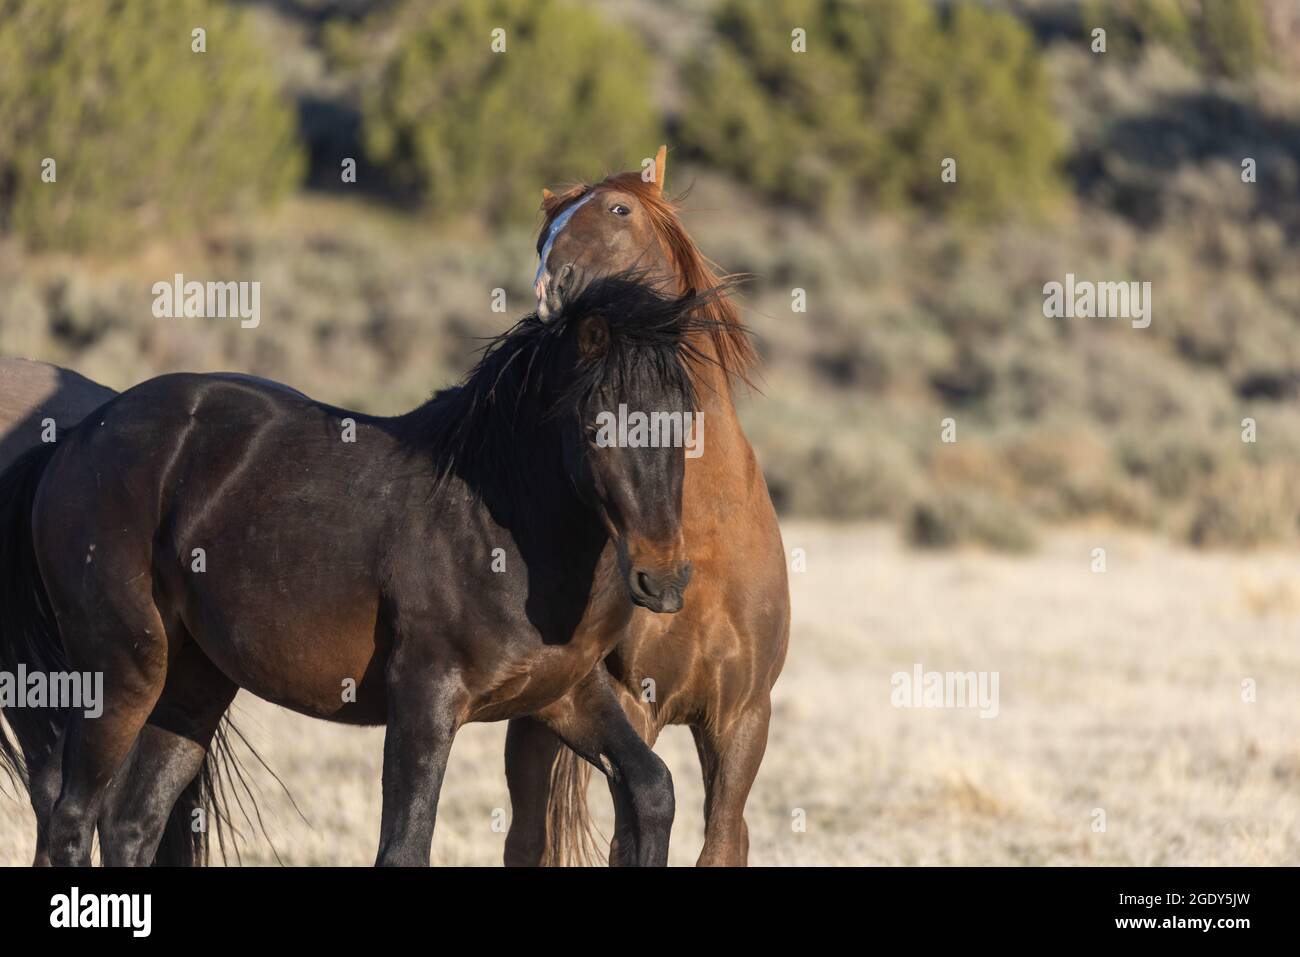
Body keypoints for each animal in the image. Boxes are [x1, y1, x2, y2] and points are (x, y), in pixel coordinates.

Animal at [0, 275, 717, 866]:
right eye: (599, 425)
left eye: (684, 420)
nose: (663, 580)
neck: (499, 527)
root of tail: (75, 439)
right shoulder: (425, 701)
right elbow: (404, 848)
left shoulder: (564, 694)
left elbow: (652, 788)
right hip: (123, 670)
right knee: (72, 816)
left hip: (191, 689)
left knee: (127, 823)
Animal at [506, 147, 790, 866]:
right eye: (544, 231)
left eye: (618, 210)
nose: (549, 287)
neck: (705, 536)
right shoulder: (635, 706)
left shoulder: (742, 718)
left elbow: (723, 840)